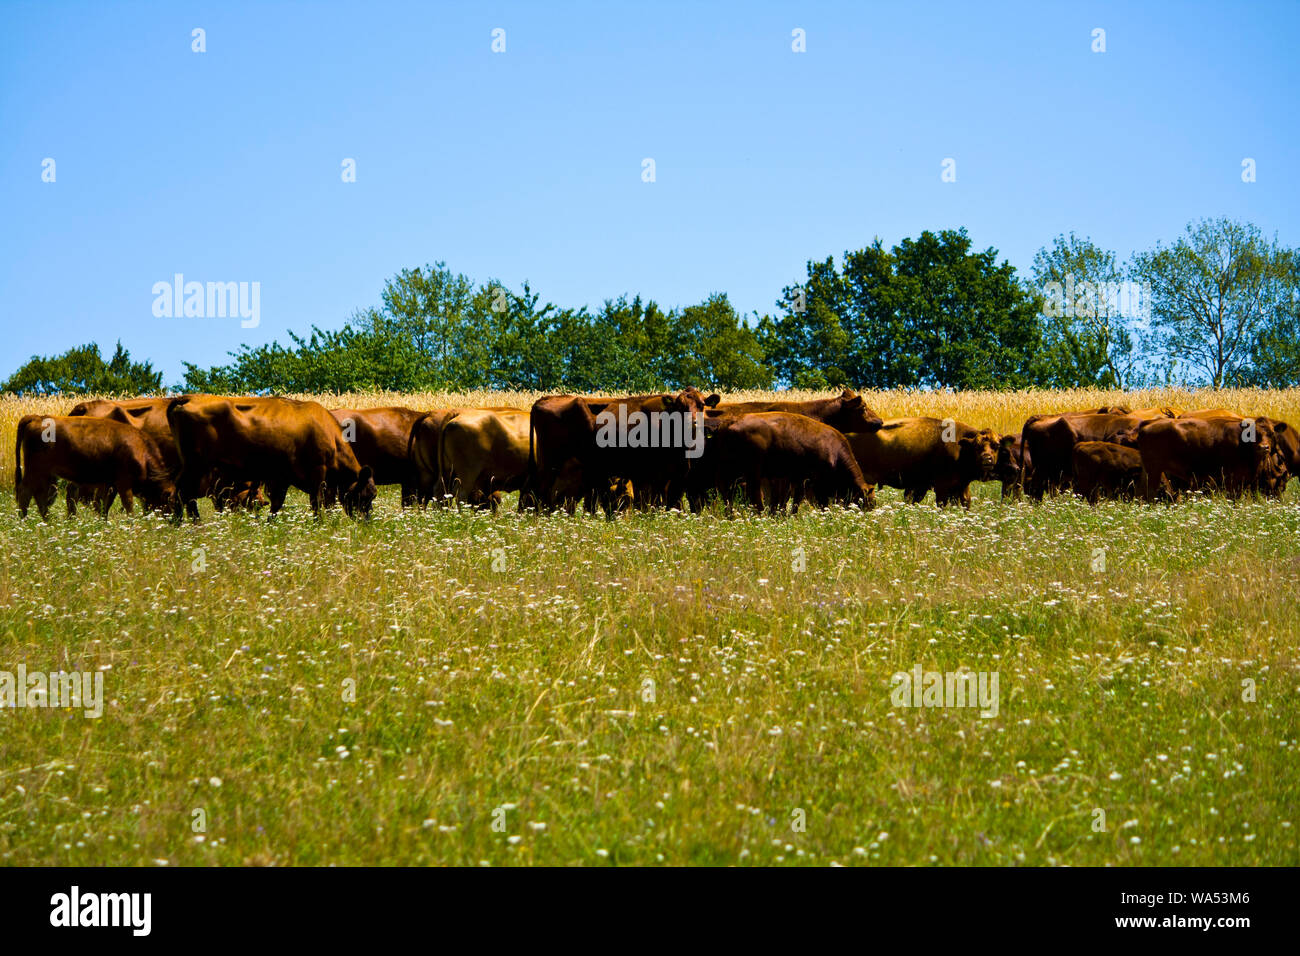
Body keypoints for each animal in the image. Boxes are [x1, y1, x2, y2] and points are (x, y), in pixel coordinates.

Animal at [14, 415, 175, 519]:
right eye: (171, 501)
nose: (175, 522)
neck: (142, 451)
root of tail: (37, 417)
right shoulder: (124, 484)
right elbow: (127, 505)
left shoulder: (108, 484)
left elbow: (103, 504)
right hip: (36, 470)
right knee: (25, 492)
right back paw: (25, 520)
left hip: (44, 473)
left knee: (39, 494)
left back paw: (47, 520)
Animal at [167, 396, 375, 519]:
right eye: (367, 494)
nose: (367, 522)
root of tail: (189, 397)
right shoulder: (317, 472)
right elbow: (316, 503)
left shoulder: (281, 477)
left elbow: (276, 504)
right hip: (196, 466)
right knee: (183, 494)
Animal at [706, 412, 871, 514]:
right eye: (866, 501)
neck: (834, 449)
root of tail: (729, 422)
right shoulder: (817, 480)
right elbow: (818, 500)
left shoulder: (796, 477)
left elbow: (793, 498)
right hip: (752, 470)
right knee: (753, 492)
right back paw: (759, 515)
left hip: (728, 469)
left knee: (726, 490)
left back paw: (731, 515)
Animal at [845, 417, 999, 508]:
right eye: (977, 446)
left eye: (996, 445)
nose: (987, 458)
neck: (960, 446)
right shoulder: (941, 487)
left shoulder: (960, 486)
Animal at [1135, 416, 1288, 501]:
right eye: (1252, 433)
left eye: (1271, 433)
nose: (1264, 447)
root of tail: (1149, 423)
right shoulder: (1232, 480)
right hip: (1154, 471)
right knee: (1150, 493)